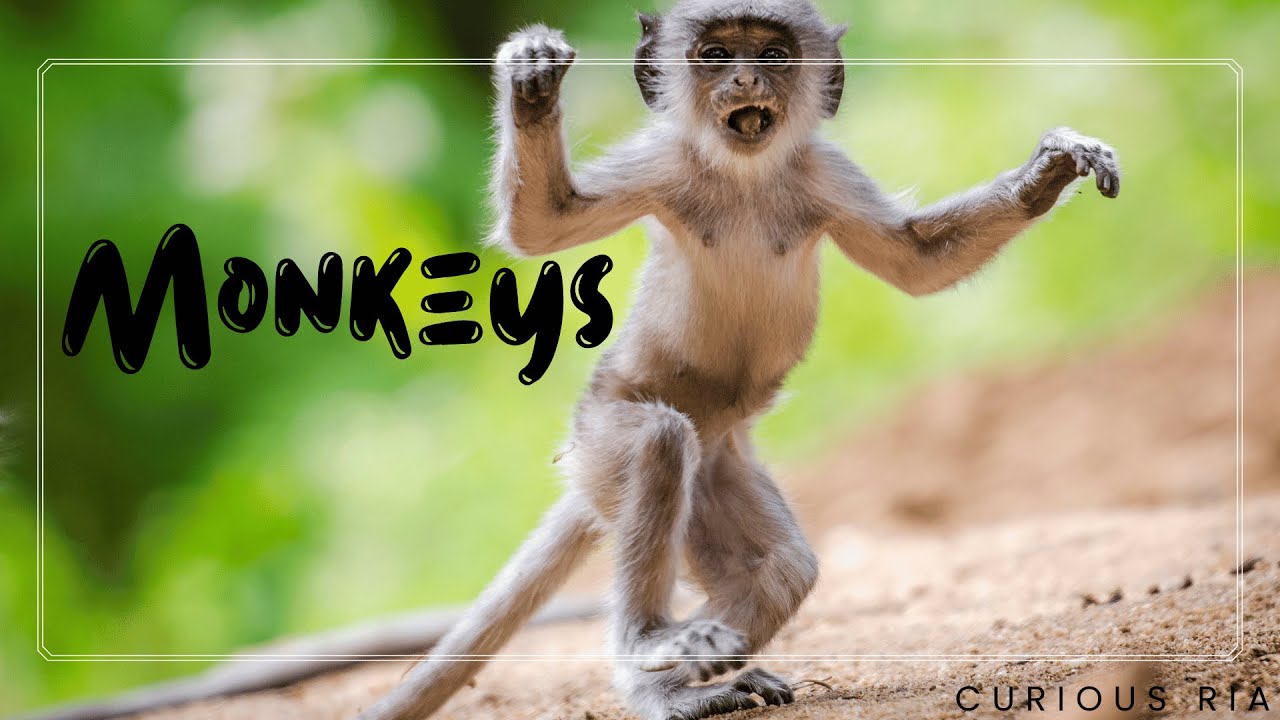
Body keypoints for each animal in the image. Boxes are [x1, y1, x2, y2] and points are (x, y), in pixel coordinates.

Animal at [361, 1, 1120, 719]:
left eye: (773, 55)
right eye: (717, 54)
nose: (747, 82)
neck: (746, 176)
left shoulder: (825, 172)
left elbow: (919, 263)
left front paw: (1045, 174)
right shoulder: (663, 161)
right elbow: (542, 223)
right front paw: (532, 82)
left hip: (719, 464)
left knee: (781, 567)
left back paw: (681, 677)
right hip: (601, 439)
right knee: (660, 441)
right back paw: (651, 655)